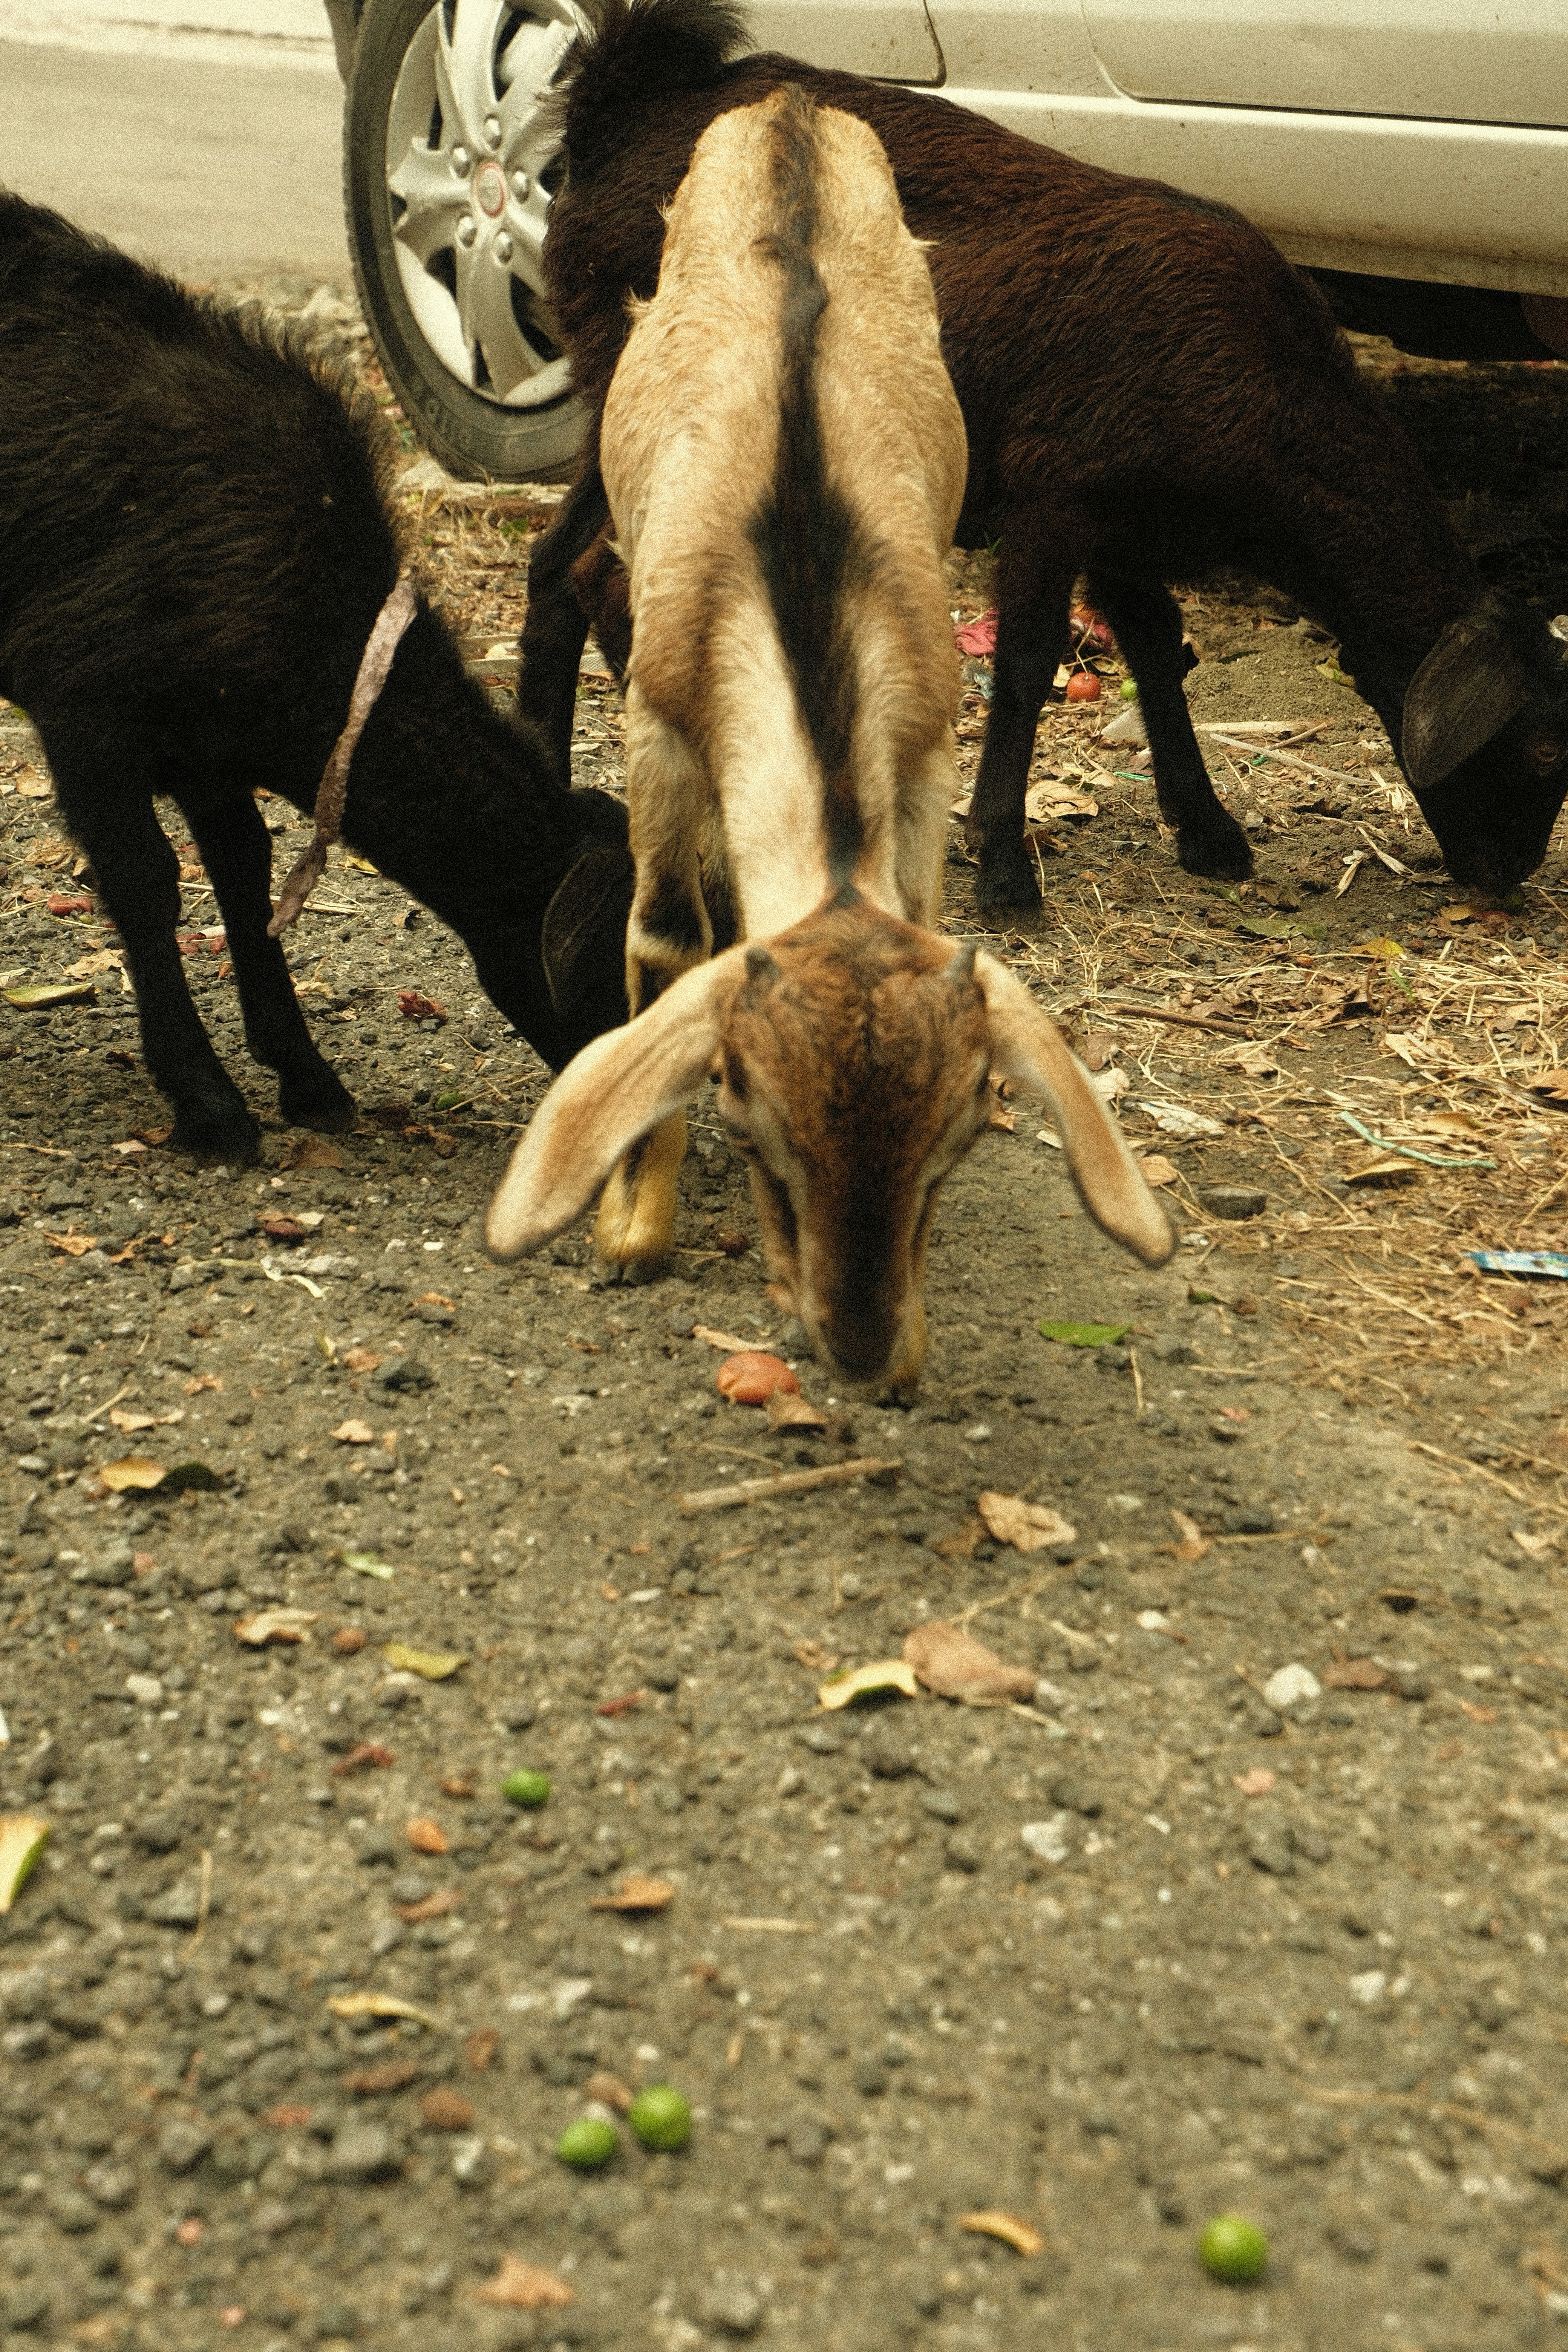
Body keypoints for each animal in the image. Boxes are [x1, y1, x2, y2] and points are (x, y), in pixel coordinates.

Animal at [0, 191, 633, 1166]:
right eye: (623, 978)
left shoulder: (210, 747)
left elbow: (244, 871)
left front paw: (304, 1076)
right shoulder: (85, 711)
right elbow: (145, 880)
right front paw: (209, 1104)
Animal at [485, 86, 1171, 1392]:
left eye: (959, 1139)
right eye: (746, 1120)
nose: (856, 1348)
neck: (798, 563)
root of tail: (786, 105)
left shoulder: (924, 748)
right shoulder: (660, 723)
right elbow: (665, 943)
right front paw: (631, 1232)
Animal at [518, 0, 1568, 913]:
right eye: (1544, 753)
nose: (1507, 879)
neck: (1272, 392)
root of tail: (621, 112)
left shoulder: (1128, 526)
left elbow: (1157, 650)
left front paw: (1207, 831)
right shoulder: (1051, 497)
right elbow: (1027, 662)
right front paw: (1001, 864)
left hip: (621, 402)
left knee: (564, 564)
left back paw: (550, 769)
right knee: (608, 575)